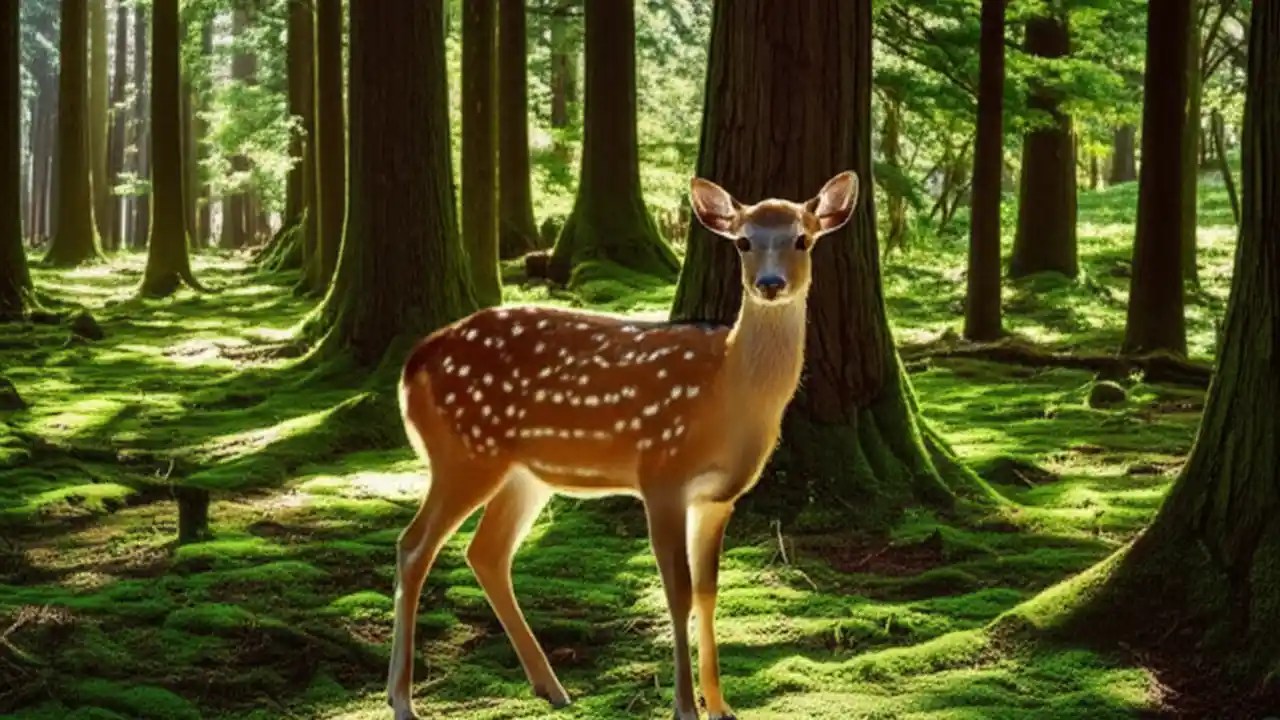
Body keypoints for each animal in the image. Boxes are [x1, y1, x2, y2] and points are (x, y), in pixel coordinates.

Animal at [387, 171, 858, 720]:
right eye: (743, 242)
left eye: (802, 238)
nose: (770, 284)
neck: (728, 391)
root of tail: (414, 363)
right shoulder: (662, 474)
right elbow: (677, 592)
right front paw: (685, 707)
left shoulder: (718, 497)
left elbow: (708, 592)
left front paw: (721, 705)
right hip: (464, 453)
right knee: (414, 545)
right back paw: (402, 699)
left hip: (524, 473)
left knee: (486, 552)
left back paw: (551, 686)